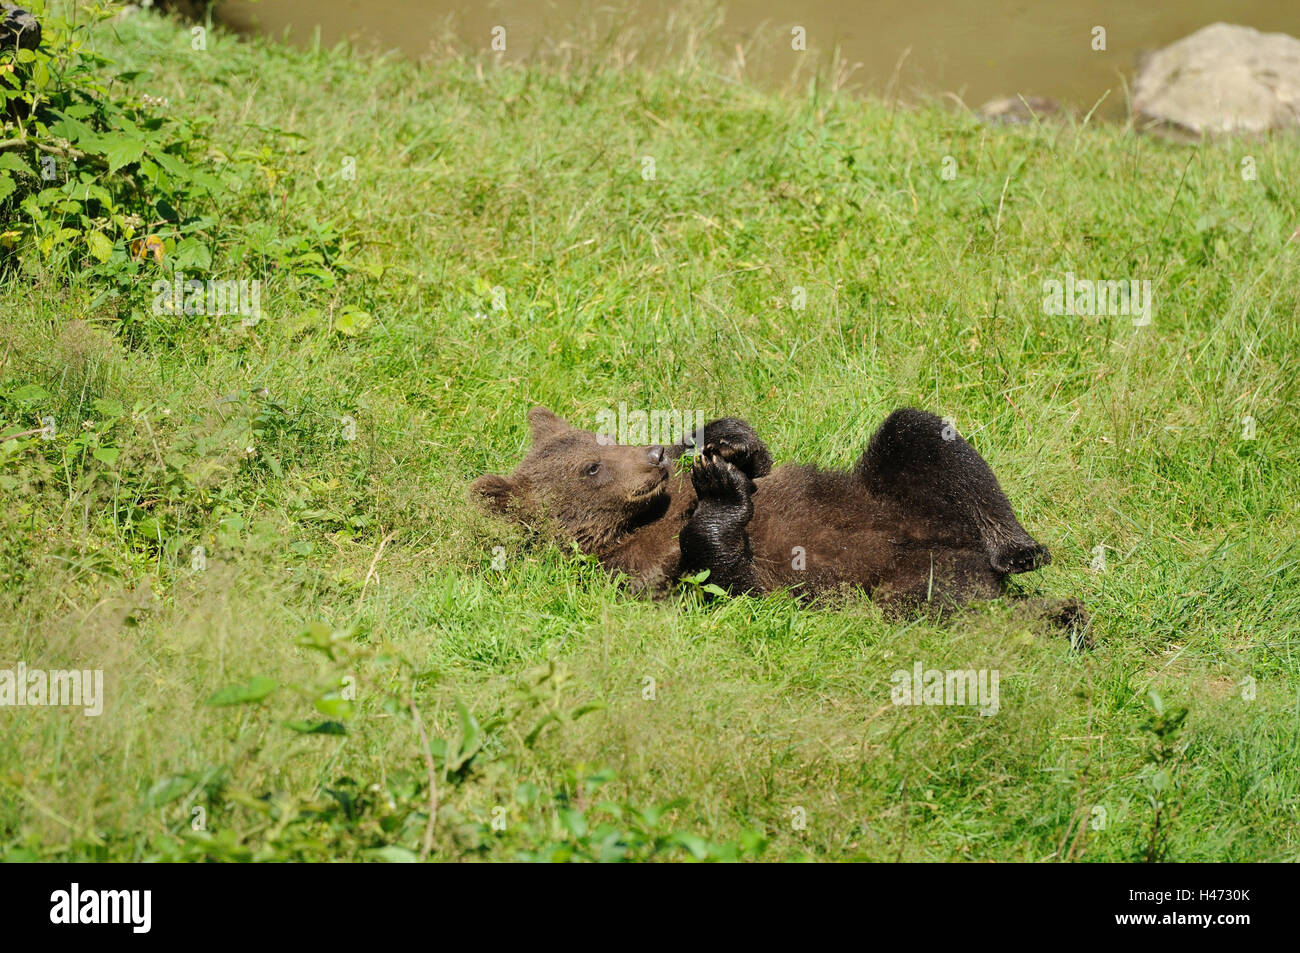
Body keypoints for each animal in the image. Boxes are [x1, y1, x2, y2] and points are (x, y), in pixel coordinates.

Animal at [472, 406, 1085, 634]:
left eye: (604, 436)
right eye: (591, 467)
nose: (658, 453)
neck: (636, 524)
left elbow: (760, 466)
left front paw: (726, 442)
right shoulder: (644, 578)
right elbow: (727, 576)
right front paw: (722, 493)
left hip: (905, 499)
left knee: (918, 431)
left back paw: (1025, 553)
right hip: (901, 589)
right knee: (944, 610)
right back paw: (1061, 613)